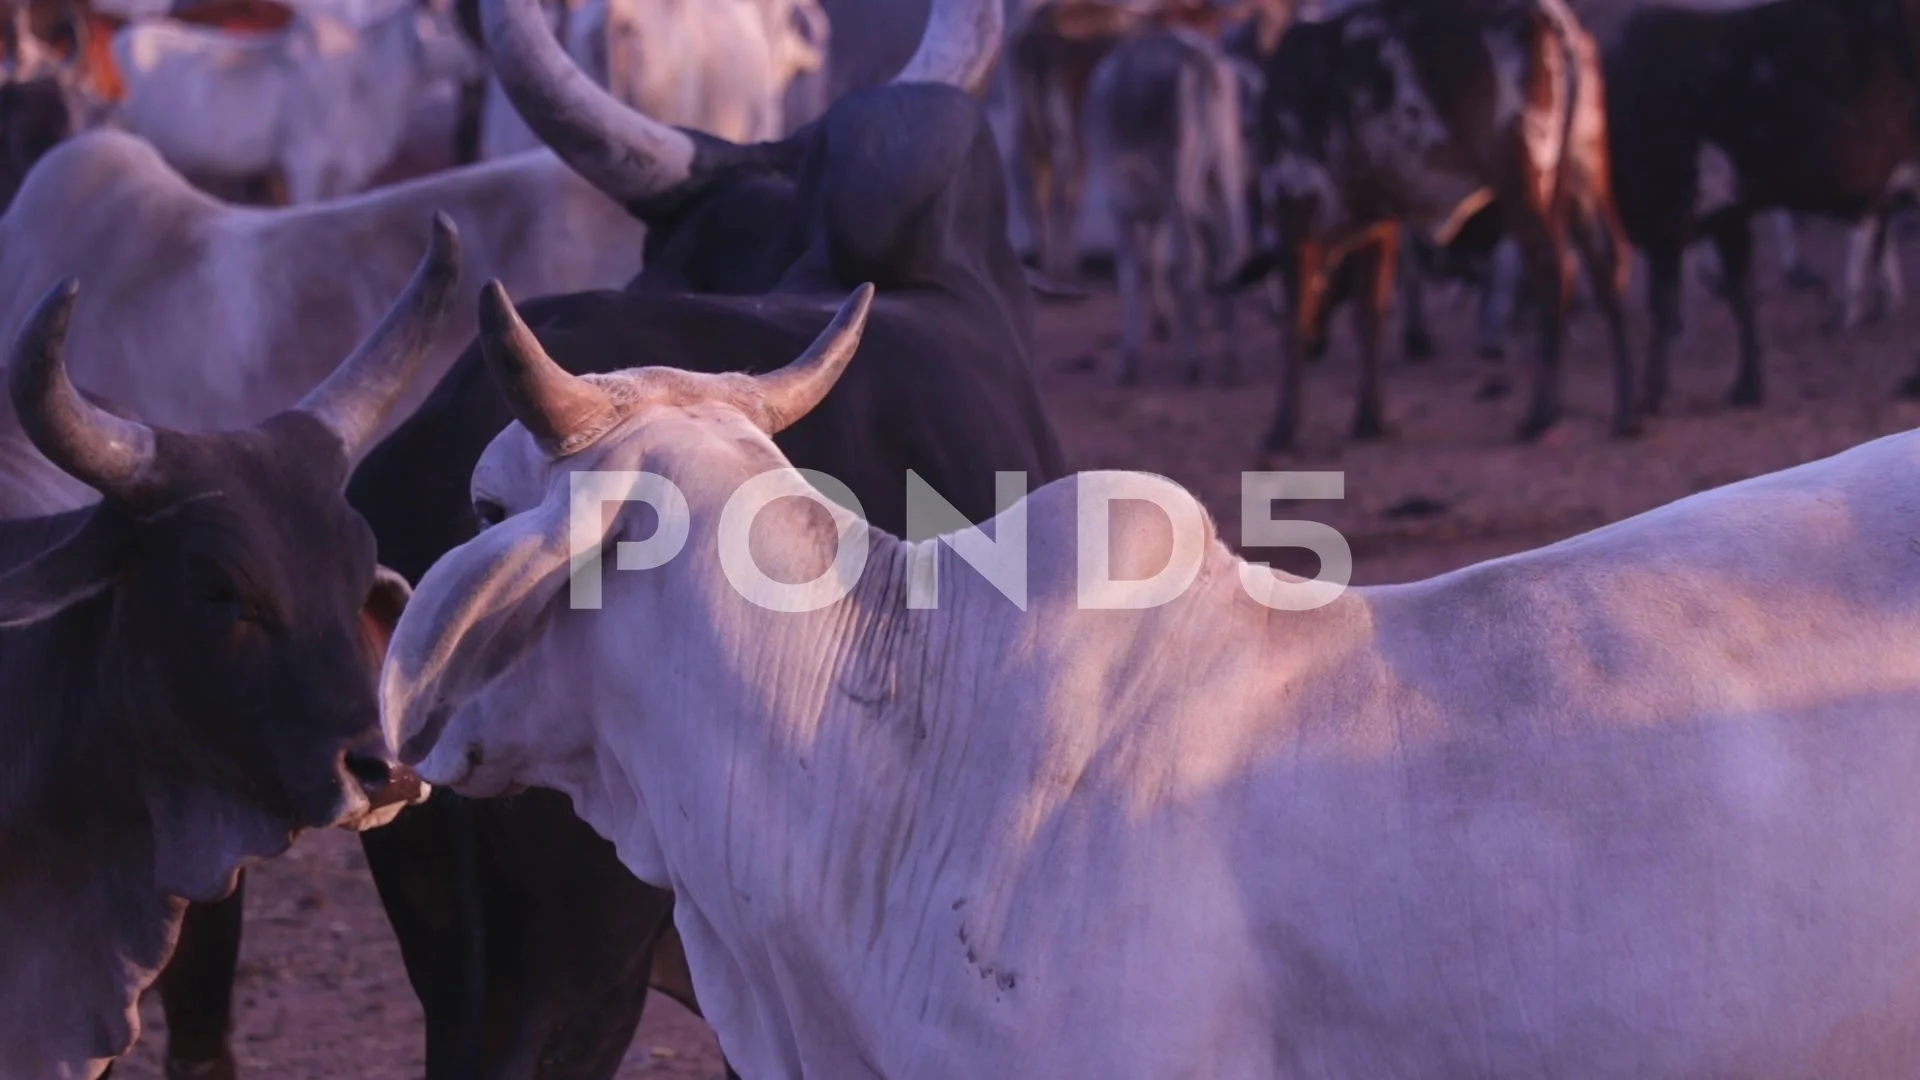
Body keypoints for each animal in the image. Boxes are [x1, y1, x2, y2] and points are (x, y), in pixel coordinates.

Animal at [1083, 23, 1250, 384]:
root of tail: (1198, 55)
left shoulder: (1120, 205)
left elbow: (1131, 275)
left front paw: (1128, 360)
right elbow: (1153, 257)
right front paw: (1161, 322)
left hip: (1179, 183)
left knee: (1190, 260)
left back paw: (1192, 361)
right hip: (1224, 170)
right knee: (1229, 248)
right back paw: (1230, 358)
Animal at [1244, 0, 1634, 452]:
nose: (1316, 347)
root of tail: (1545, 13)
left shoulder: (1295, 212)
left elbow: (1295, 319)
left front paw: (1282, 429)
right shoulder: (1381, 226)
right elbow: (1370, 316)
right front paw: (1368, 419)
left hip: (1524, 183)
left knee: (1555, 275)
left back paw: (1542, 415)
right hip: (1582, 175)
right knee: (1608, 269)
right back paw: (1626, 414)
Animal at [1606, 0, 1920, 414]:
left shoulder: (1669, 222)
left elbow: (1665, 305)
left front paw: (1651, 394)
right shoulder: (1727, 216)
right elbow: (1743, 296)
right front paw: (1748, 386)